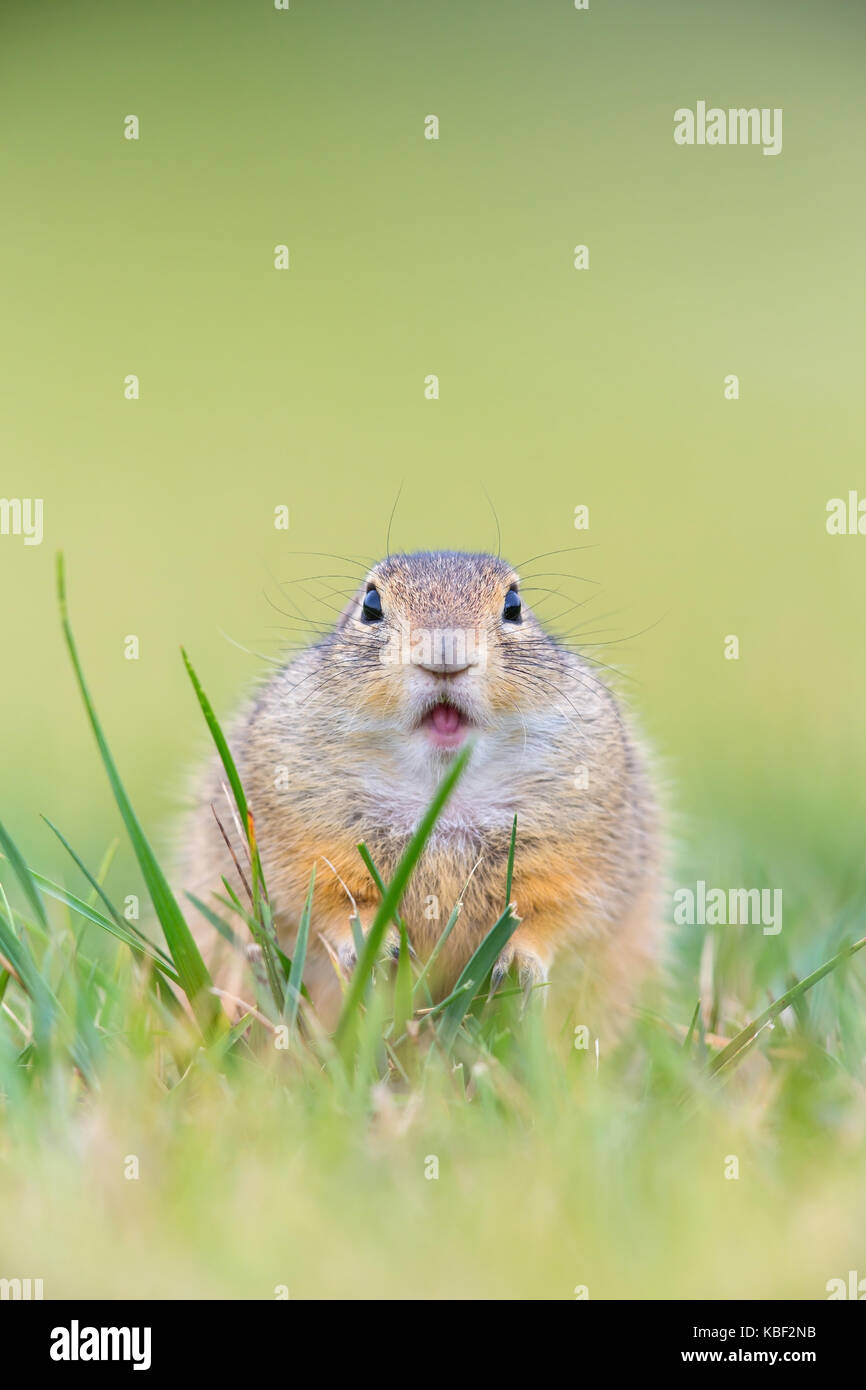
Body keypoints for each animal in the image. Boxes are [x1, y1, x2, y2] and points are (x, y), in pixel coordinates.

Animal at [180, 550, 661, 1032]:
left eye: (514, 607)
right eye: (370, 605)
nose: (445, 651)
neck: (441, 790)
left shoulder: (575, 851)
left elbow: (556, 912)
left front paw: (520, 964)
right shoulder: (303, 839)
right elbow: (325, 899)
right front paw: (373, 946)